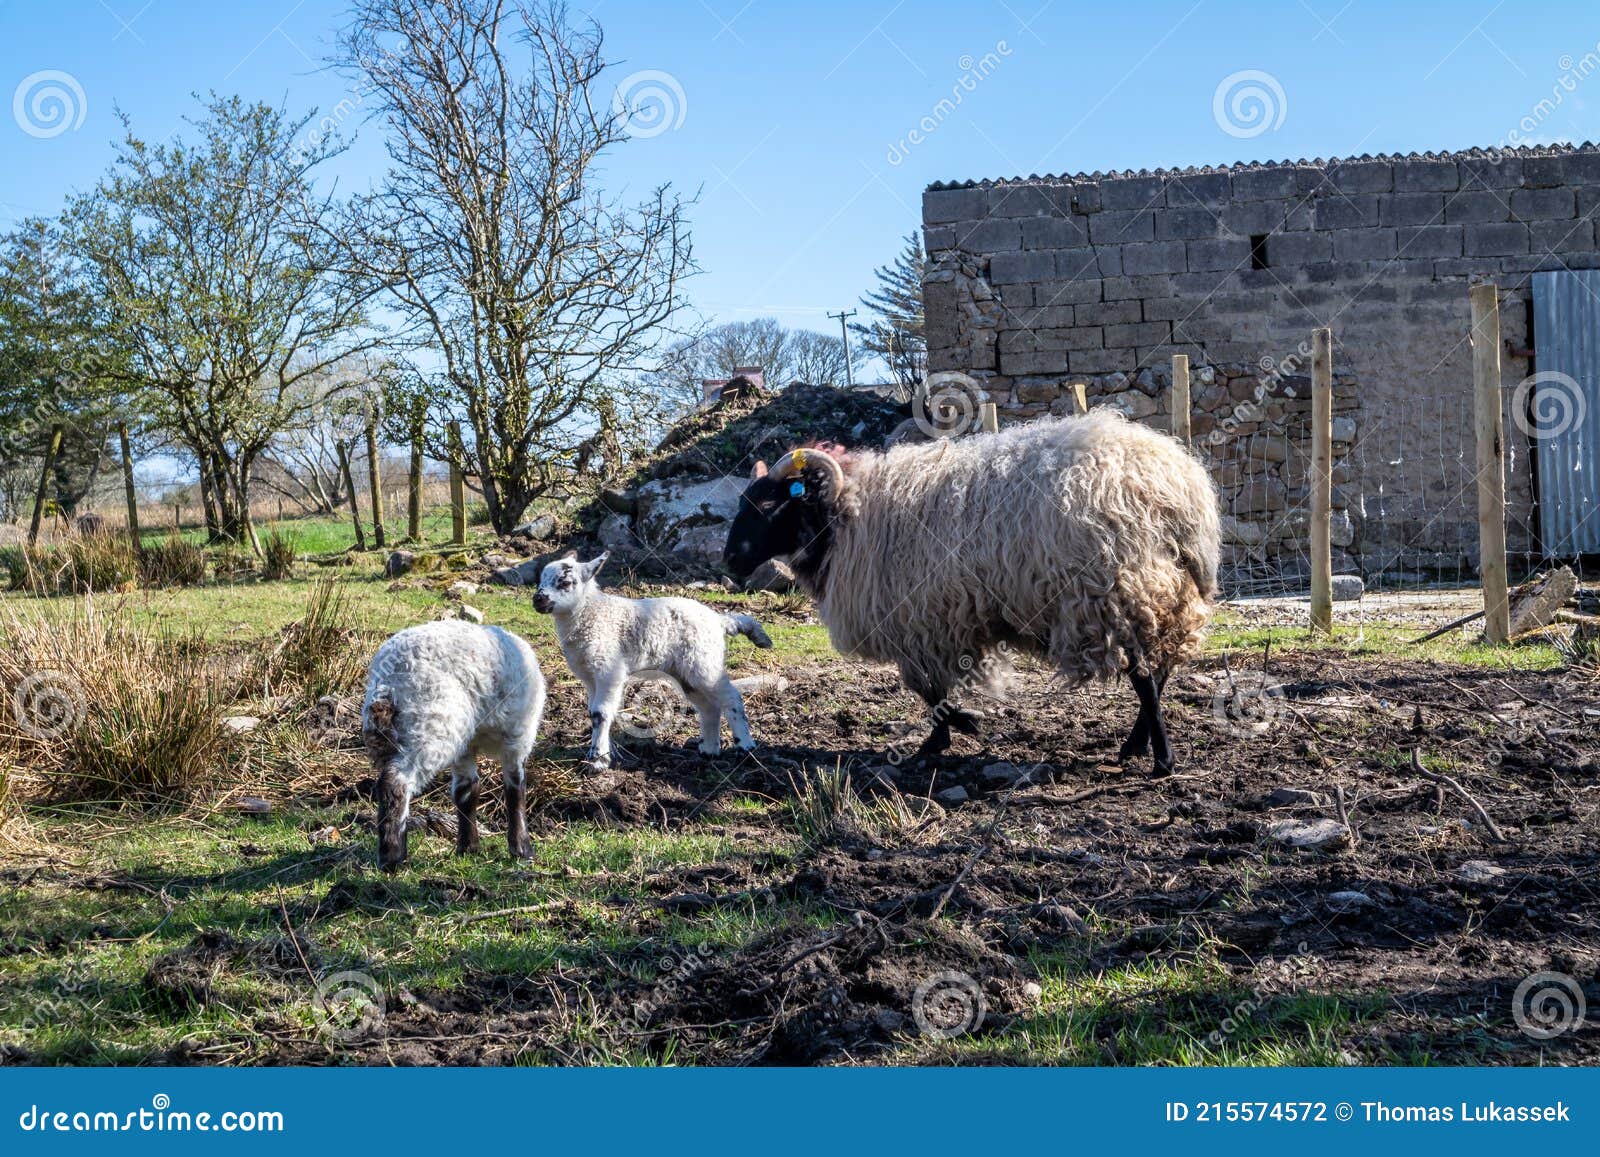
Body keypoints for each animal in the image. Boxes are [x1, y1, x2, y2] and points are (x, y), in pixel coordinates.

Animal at [362, 619, 546, 871]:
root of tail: (389, 684)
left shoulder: (466, 748)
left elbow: (467, 790)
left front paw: (468, 847)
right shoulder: (518, 735)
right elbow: (516, 787)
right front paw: (522, 849)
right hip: (431, 725)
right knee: (395, 781)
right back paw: (393, 856)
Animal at [532, 551, 772, 769]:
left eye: (565, 582)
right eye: (540, 580)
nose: (538, 599)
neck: (591, 613)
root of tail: (719, 620)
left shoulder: (609, 670)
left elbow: (600, 713)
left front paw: (598, 761)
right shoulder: (590, 676)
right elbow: (593, 711)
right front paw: (603, 752)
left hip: (704, 662)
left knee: (731, 697)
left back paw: (745, 746)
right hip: (687, 671)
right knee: (709, 706)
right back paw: (709, 750)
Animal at [722, 410, 1221, 773]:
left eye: (767, 503)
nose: (728, 561)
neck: (847, 516)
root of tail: (1177, 495)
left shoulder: (920, 621)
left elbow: (928, 689)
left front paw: (950, 732)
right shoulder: (932, 622)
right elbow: (931, 690)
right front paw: (952, 730)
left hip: (1114, 594)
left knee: (1144, 677)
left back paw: (1161, 760)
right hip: (1169, 592)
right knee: (1161, 668)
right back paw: (1136, 745)